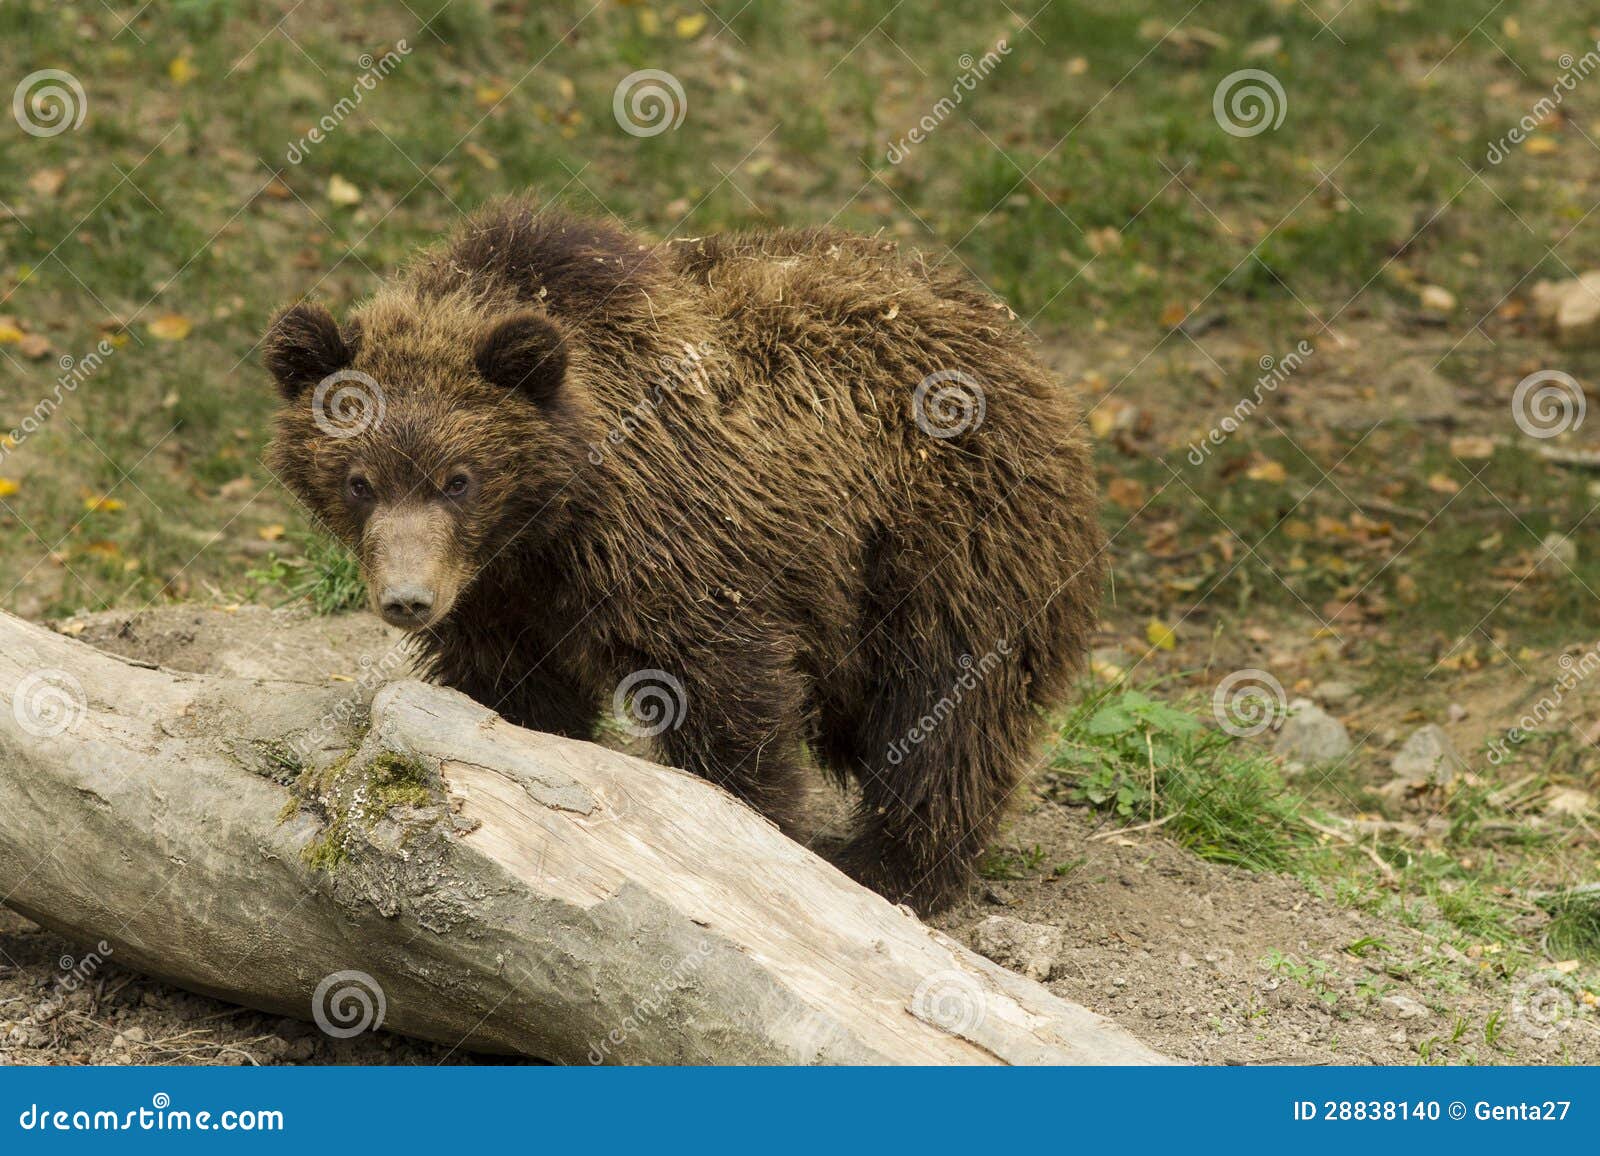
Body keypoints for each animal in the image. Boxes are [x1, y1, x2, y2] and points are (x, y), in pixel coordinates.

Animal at [263, 196, 1104, 913]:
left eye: (459, 478)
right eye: (359, 480)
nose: (408, 598)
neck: (548, 522)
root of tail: (1007, 334)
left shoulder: (672, 538)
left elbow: (723, 690)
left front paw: (759, 831)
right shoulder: (501, 597)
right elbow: (515, 696)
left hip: (945, 533)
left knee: (947, 698)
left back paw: (896, 867)